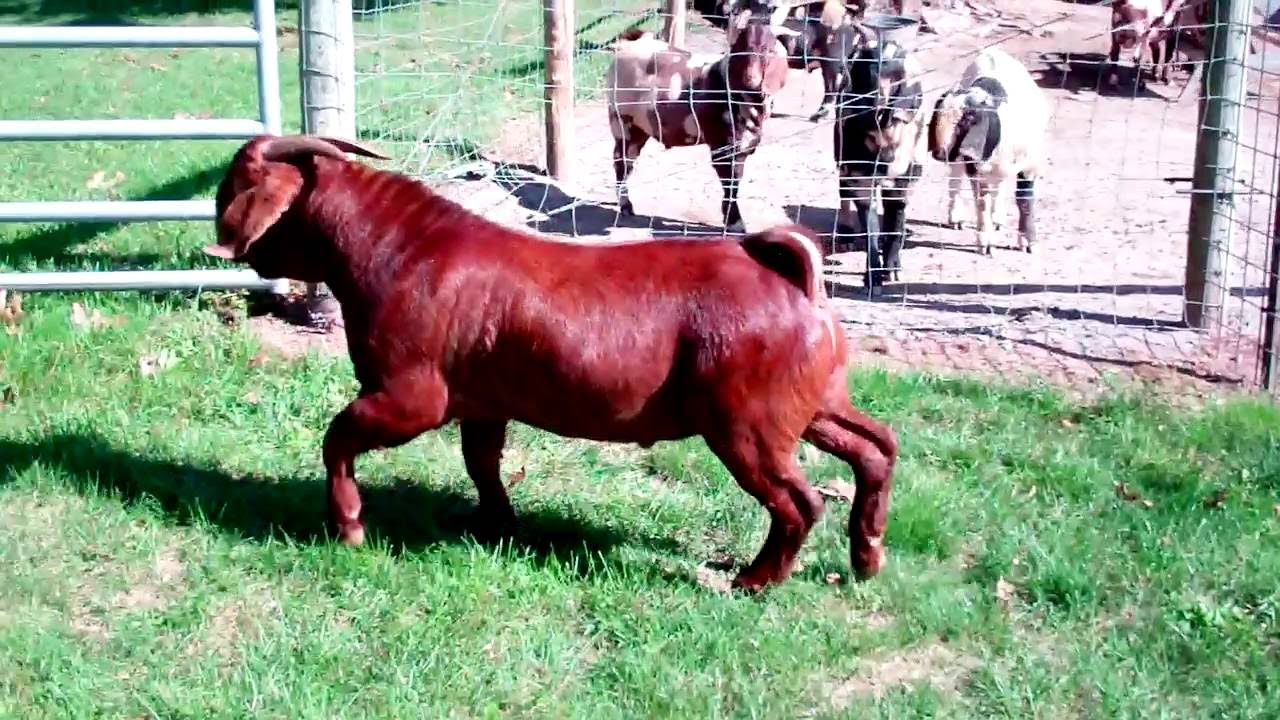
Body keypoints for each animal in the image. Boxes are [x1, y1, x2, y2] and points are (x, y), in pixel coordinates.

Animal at [203, 134, 900, 593]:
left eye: (232, 188)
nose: (229, 244)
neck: (401, 248)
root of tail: (787, 275)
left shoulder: (411, 397)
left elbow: (338, 438)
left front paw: (349, 528)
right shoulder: (483, 404)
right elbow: (481, 463)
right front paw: (497, 525)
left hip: (746, 425)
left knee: (799, 503)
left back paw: (753, 582)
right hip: (812, 405)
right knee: (876, 447)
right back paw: (866, 555)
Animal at [605, 14, 788, 231]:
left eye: (768, 49)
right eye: (739, 48)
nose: (750, 79)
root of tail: (627, 45)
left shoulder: (743, 147)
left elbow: (736, 181)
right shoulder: (723, 145)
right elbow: (730, 183)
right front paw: (735, 222)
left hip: (641, 127)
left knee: (628, 160)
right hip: (622, 119)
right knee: (621, 161)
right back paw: (625, 205)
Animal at [833, 31, 927, 292]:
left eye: (897, 78)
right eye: (866, 73)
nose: (873, 105)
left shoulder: (903, 178)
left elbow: (895, 222)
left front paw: (892, 271)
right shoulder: (859, 178)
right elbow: (869, 229)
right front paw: (872, 280)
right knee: (843, 194)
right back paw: (845, 237)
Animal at [928, 46, 1050, 256]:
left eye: (967, 119)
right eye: (938, 113)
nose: (939, 153)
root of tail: (992, 50)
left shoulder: (1031, 162)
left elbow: (1024, 200)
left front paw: (1028, 242)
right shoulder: (974, 165)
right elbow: (981, 202)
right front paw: (986, 243)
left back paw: (998, 218)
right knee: (956, 177)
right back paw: (957, 218)